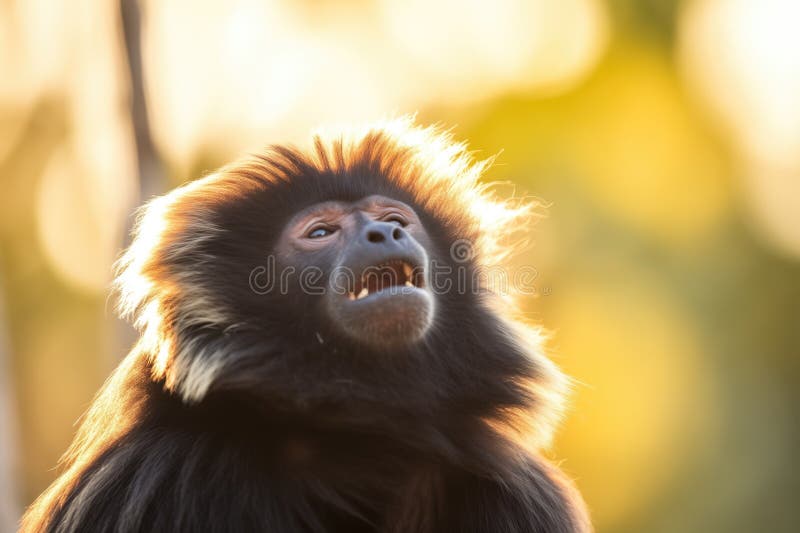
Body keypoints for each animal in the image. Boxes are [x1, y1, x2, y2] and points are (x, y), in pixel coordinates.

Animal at [22, 119, 591, 532]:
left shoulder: (519, 489)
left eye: (396, 221)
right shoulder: (158, 475)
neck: (352, 441)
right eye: (320, 232)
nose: (385, 234)